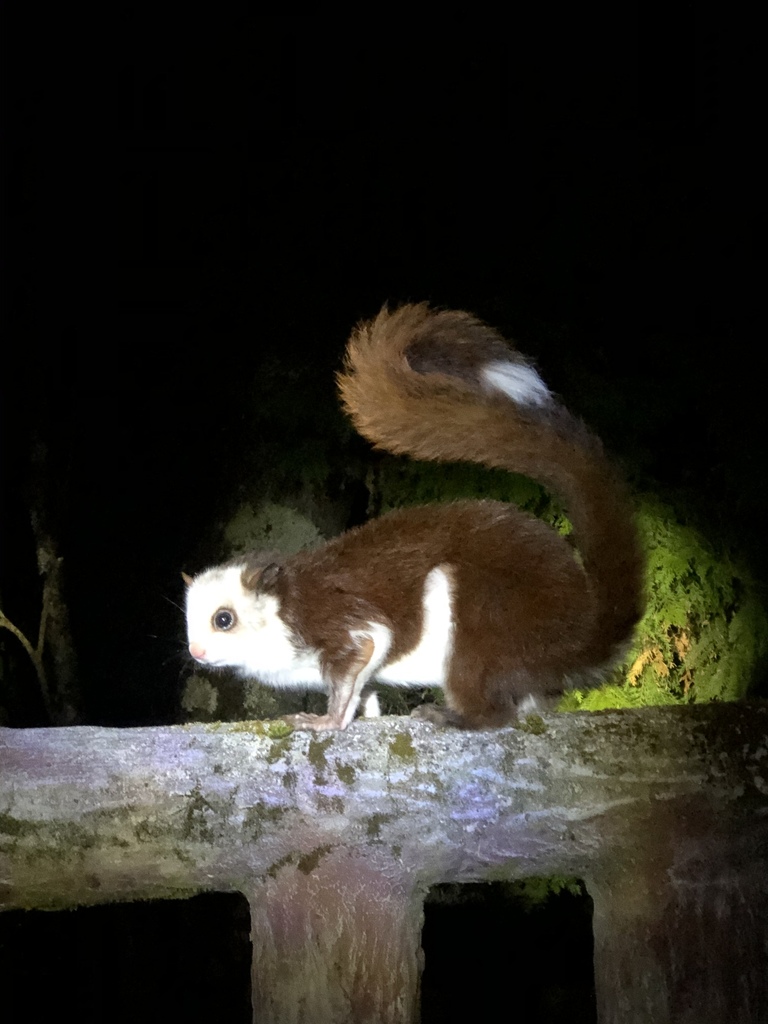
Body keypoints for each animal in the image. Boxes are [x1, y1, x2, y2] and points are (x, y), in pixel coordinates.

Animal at [184, 303, 644, 731]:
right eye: (188, 622)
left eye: (223, 619)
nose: (196, 652)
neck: (281, 612)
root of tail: (574, 641)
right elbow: (364, 693)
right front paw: (363, 718)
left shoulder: (339, 623)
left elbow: (362, 656)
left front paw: (325, 723)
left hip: (481, 616)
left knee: (494, 709)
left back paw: (451, 716)